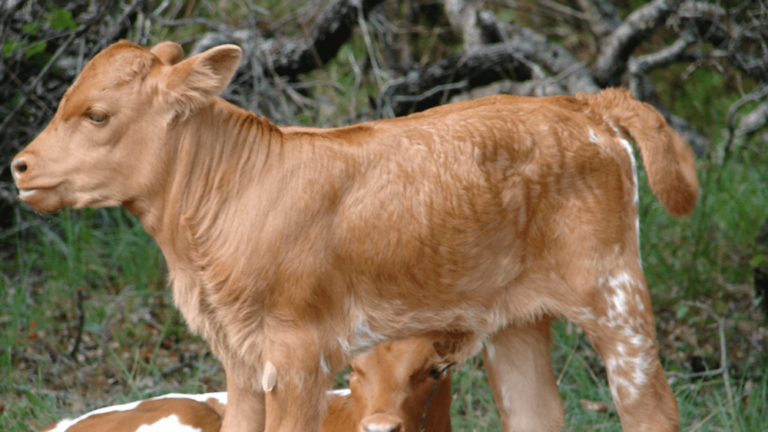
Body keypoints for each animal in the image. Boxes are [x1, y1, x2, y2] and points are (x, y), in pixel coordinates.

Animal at [12, 40, 698, 432]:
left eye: (97, 114)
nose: (19, 166)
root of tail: (582, 104)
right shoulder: (240, 357)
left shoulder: (299, 354)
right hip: (514, 320)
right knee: (536, 415)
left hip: (614, 292)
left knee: (651, 409)